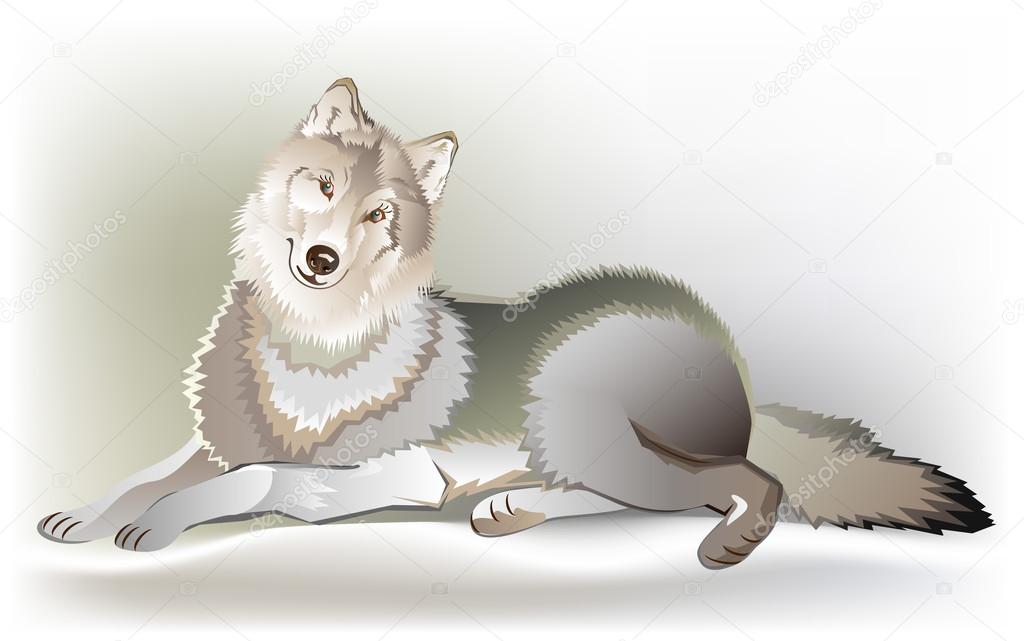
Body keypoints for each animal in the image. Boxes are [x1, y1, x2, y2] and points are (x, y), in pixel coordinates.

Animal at [39, 78, 991, 568]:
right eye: (324, 186)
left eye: (381, 216)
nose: (323, 260)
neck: (312, 333)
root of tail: (736, 365)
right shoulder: (214, 438)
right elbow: (153, 470)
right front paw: (83, 513)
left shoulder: (385, 474)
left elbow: (250, 479)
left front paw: (157, 523)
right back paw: (509, 505)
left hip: (569, 405)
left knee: (741, 483)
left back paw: (725, 538)